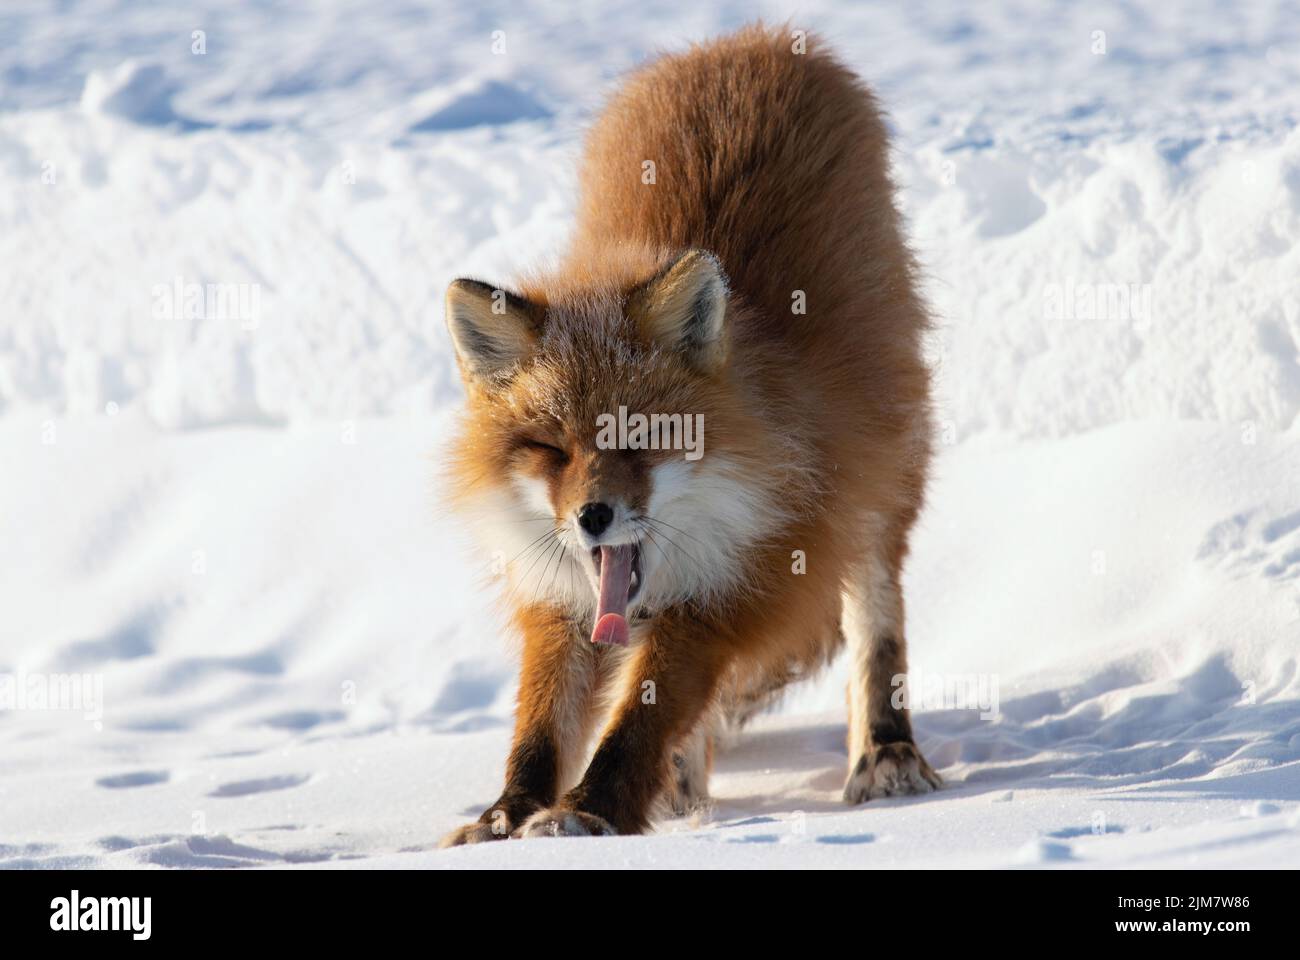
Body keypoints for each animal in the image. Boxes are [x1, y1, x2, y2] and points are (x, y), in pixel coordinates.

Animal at [439, 23, 939, 845]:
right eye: (551, 449)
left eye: (643, 436)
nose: (593, 517)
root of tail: (754, 38)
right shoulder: (560, 592)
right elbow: (543, 724)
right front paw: (506, 815)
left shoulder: (735, 582)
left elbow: (637, 722)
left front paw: (589, 812)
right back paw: (682, 785)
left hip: (878, 478)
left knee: (877, 623)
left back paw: (887, 753)